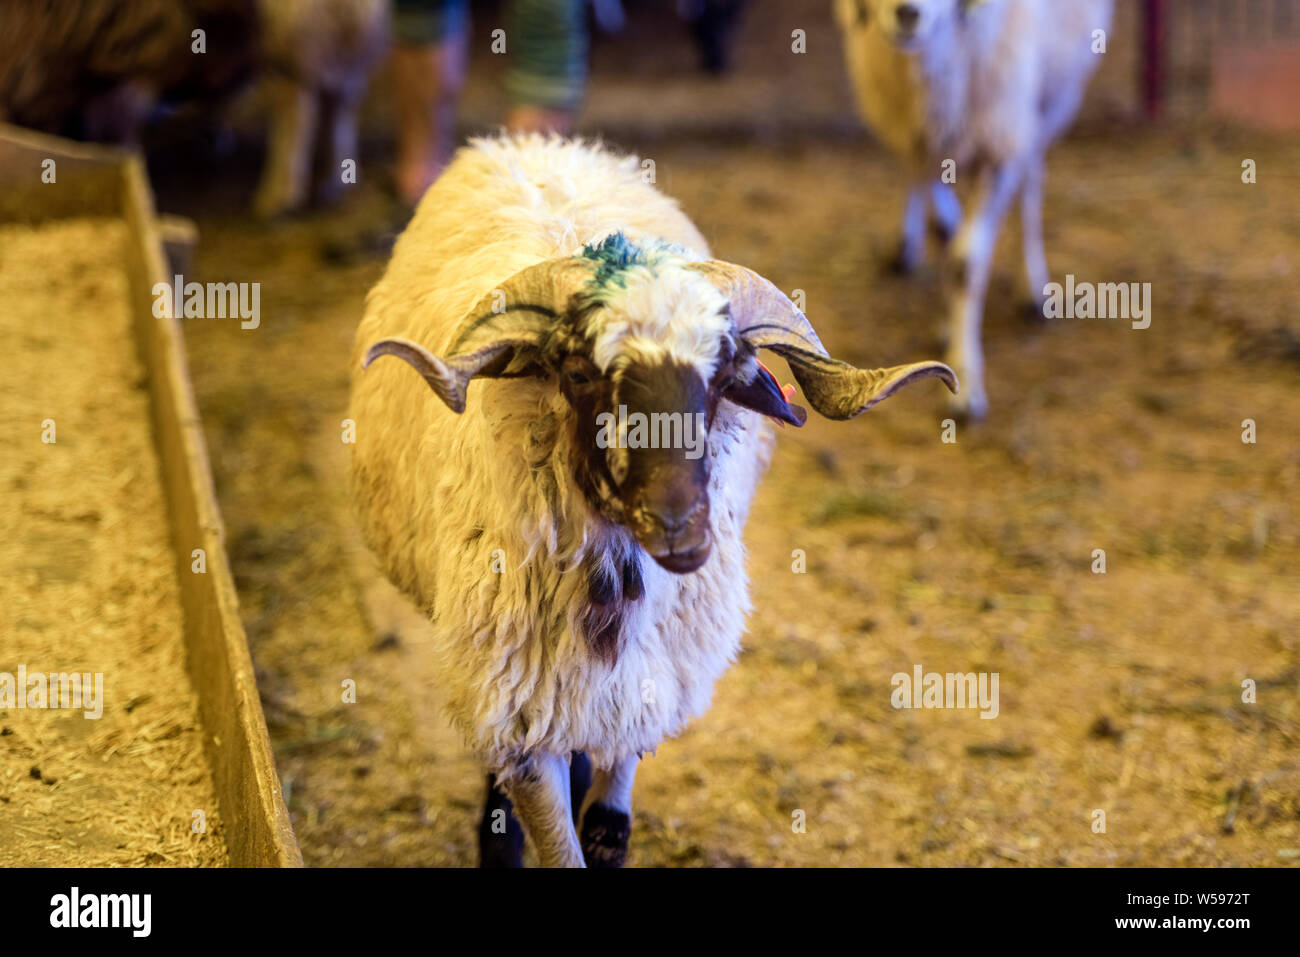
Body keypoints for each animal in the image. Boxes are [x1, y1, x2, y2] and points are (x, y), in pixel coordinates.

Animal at [348, 133, 956, 867]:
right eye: (577, 373)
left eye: (724, 375)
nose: (682, 532)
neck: (616, 589)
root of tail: (527, 141)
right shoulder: (516, 707)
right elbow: (559, 841)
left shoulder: (646, 687)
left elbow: (608, 830)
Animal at [834, 0, 1113, 419]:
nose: (907, 14)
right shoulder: (919, 142)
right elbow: (944, 228)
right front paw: (950, 324)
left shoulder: (1002, 144)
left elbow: (966, 262)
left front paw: (965, 384)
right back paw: (907, 248)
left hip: (1049, 100)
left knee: (1032, 178)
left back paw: (1032, 285)